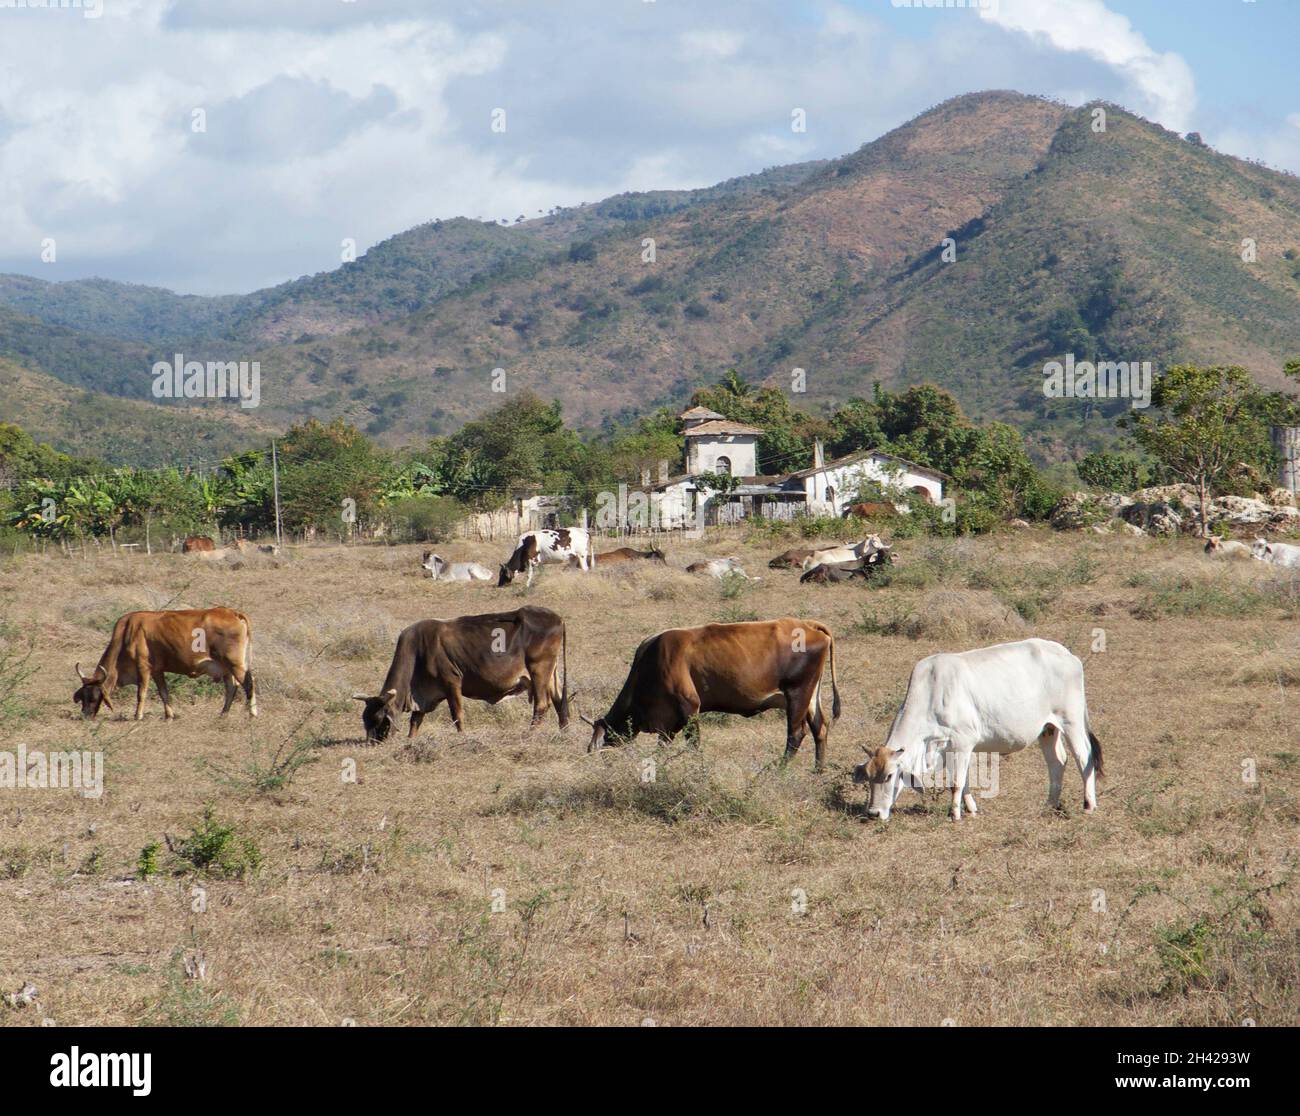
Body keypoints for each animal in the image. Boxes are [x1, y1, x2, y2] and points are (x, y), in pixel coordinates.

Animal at [73, 607, 257, 721]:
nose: (85, 716)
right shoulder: (157, 671)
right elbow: (164, 693)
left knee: (249, 683)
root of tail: (233, 613)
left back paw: (252, 714)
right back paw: (223, 714)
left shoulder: (143, 668)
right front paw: (169, 715)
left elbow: (141, 693)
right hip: (227, 669)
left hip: (235, 664)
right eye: (82, 696)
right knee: (232, 688)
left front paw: (138, 716)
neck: (127, 632)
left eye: (94, 697)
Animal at [352, 607, 569, 743]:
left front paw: (463, 737)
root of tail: (558, 617)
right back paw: (564, 732)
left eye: (379, 718)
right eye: (365, 719)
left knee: (542, 704)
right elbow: (416, 719)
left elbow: (457, 714)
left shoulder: (452, 682)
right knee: (559, 701)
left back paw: (530, 733)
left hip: (539, 669)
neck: (417, 650)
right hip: (550, 673)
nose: (371, 743)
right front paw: (410, 739)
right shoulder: (422, 694)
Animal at [585, 618, 840, 771]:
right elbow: (662, 746)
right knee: (820, 728)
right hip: (810, 697)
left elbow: (694, 744)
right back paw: (818, 771)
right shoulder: (667, 723)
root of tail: (807, 624)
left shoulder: (689, 707)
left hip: (797, 693)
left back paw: (777, 770)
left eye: (600, 747)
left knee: (796, 734)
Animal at [852, 638, 1102, 822]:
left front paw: (955, 815)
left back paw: (1089, 805)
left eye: (889, 776)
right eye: (869, 776)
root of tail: (1069, 655)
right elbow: (961, 781)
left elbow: (956, 783)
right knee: (1057, 762)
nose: (873, 813)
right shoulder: (948, 749)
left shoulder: (963, 742)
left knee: (1084, 757)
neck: (932, 692)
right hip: (1048, 729)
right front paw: (970, 809)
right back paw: (1049, 805)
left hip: (1071, 721)